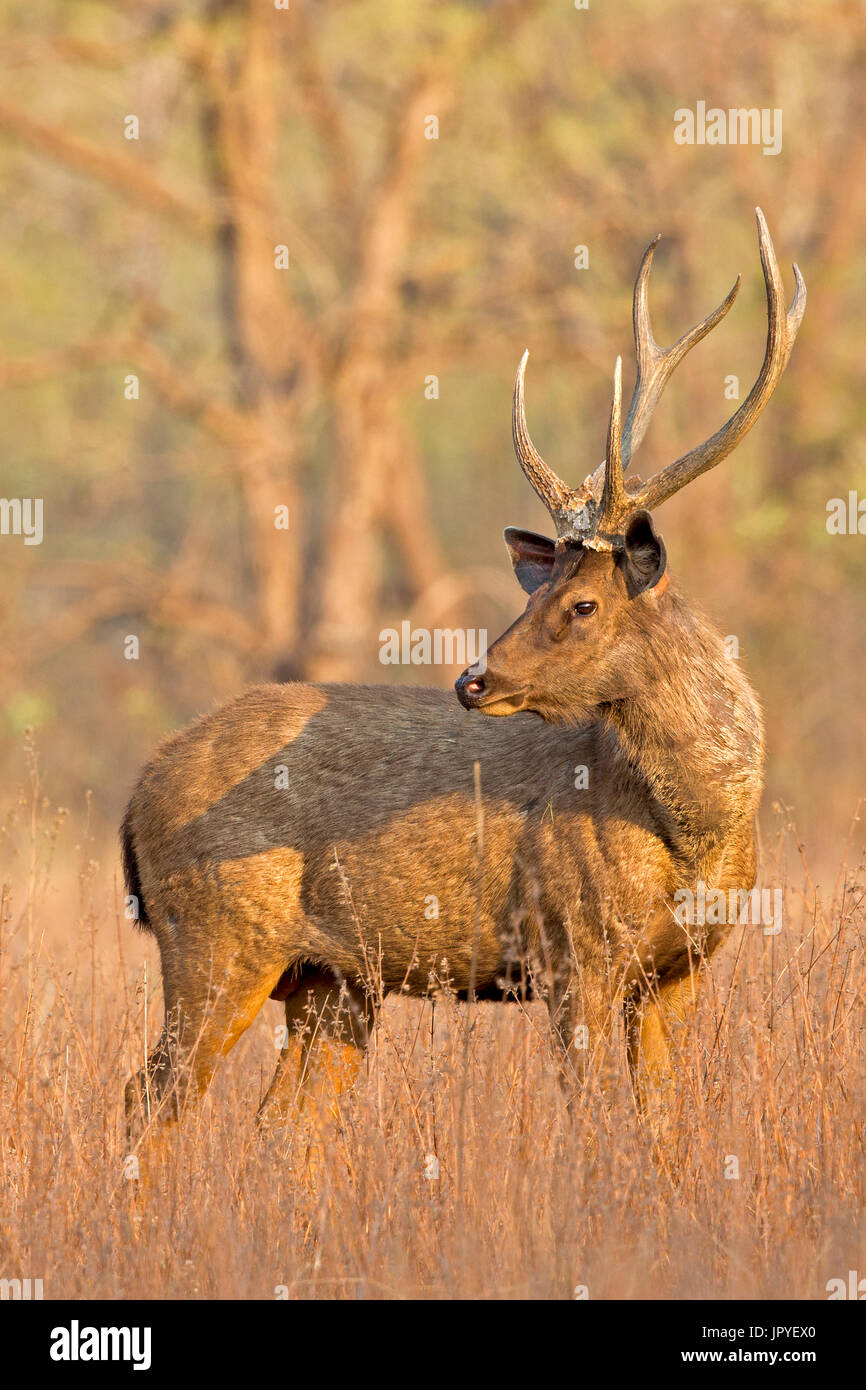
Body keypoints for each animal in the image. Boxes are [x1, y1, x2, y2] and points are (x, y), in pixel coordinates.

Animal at [122, 208, 805, 1140]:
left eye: (582, 603)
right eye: (538, 585)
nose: (473, 680)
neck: (693, 835)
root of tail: (136, 797)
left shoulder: (678, 972)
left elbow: (663, 1130)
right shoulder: (572, 950)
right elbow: (595, 1122)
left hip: (332, 979)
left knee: (284, 1121)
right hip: (216, 938)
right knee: (150, 1096)